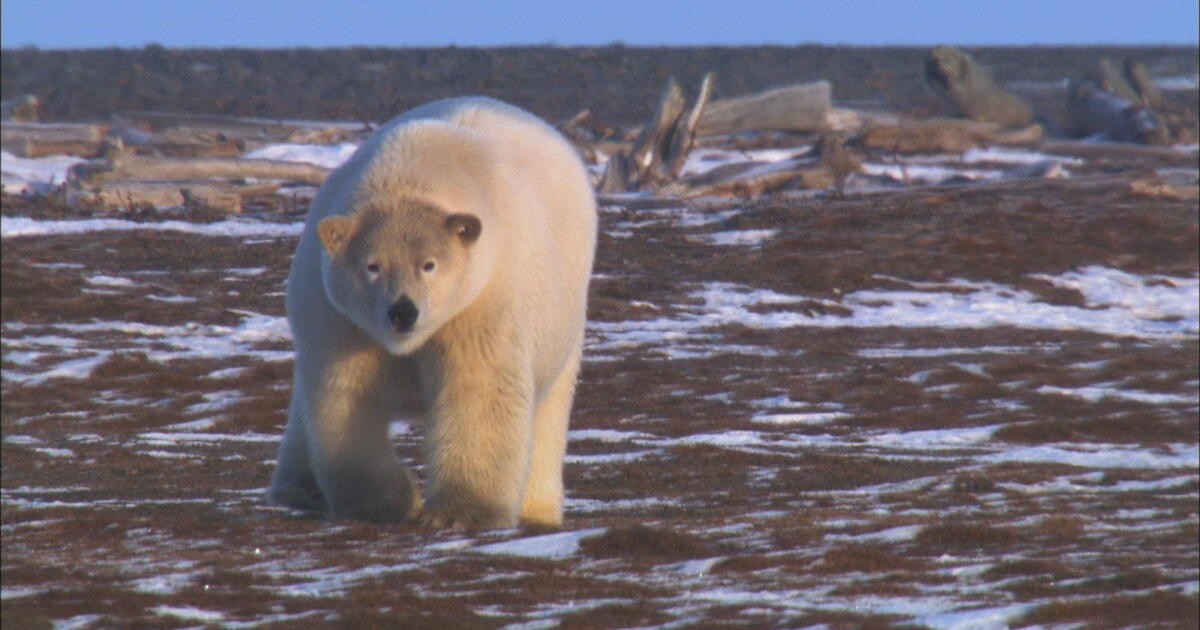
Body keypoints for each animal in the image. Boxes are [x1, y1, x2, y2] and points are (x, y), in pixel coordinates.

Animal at [269, 97, 597, 529]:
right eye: (373, 266)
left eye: (429, 264)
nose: (403, 313)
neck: (412, 171)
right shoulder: (339, 317)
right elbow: (345, 395)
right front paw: (387, 503)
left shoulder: (483, 300)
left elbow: (480, 390)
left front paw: (458, 512)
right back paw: (299, 489)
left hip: (564, 307)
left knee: (549, 408)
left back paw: (537, 509)